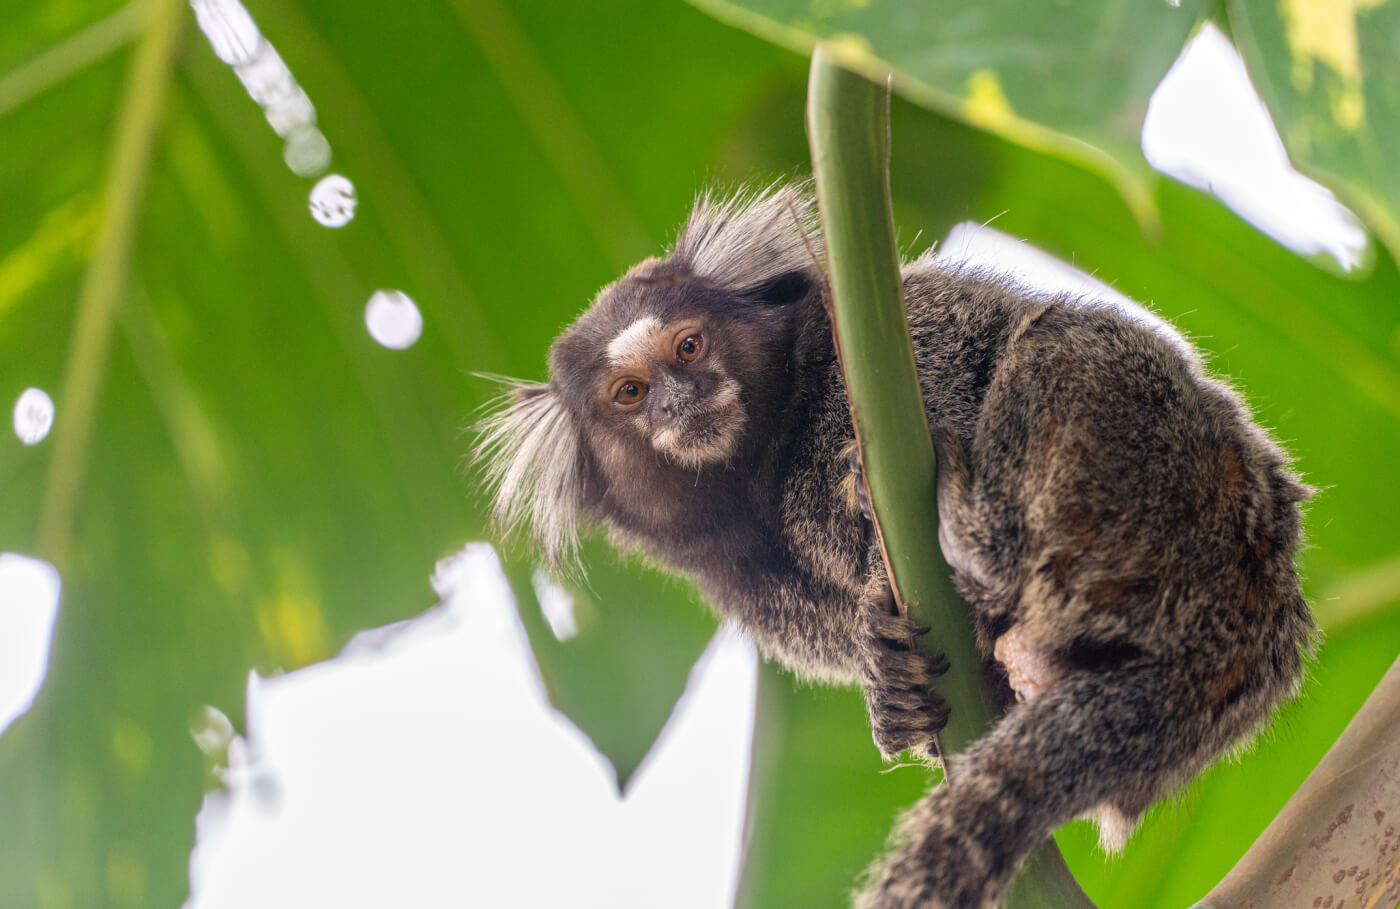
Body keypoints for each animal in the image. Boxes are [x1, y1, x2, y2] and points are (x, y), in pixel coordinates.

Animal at [476, 182, 1317, 908]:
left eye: (688, 346)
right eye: (630, 393)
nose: (684, 400)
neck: (769, 468)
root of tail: (1248, 629)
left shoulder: (887, 336)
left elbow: (973, 352)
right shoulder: (741, 581)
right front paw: (888, 682)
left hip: (1164, 490)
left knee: (1055, 340)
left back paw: (978, 543)